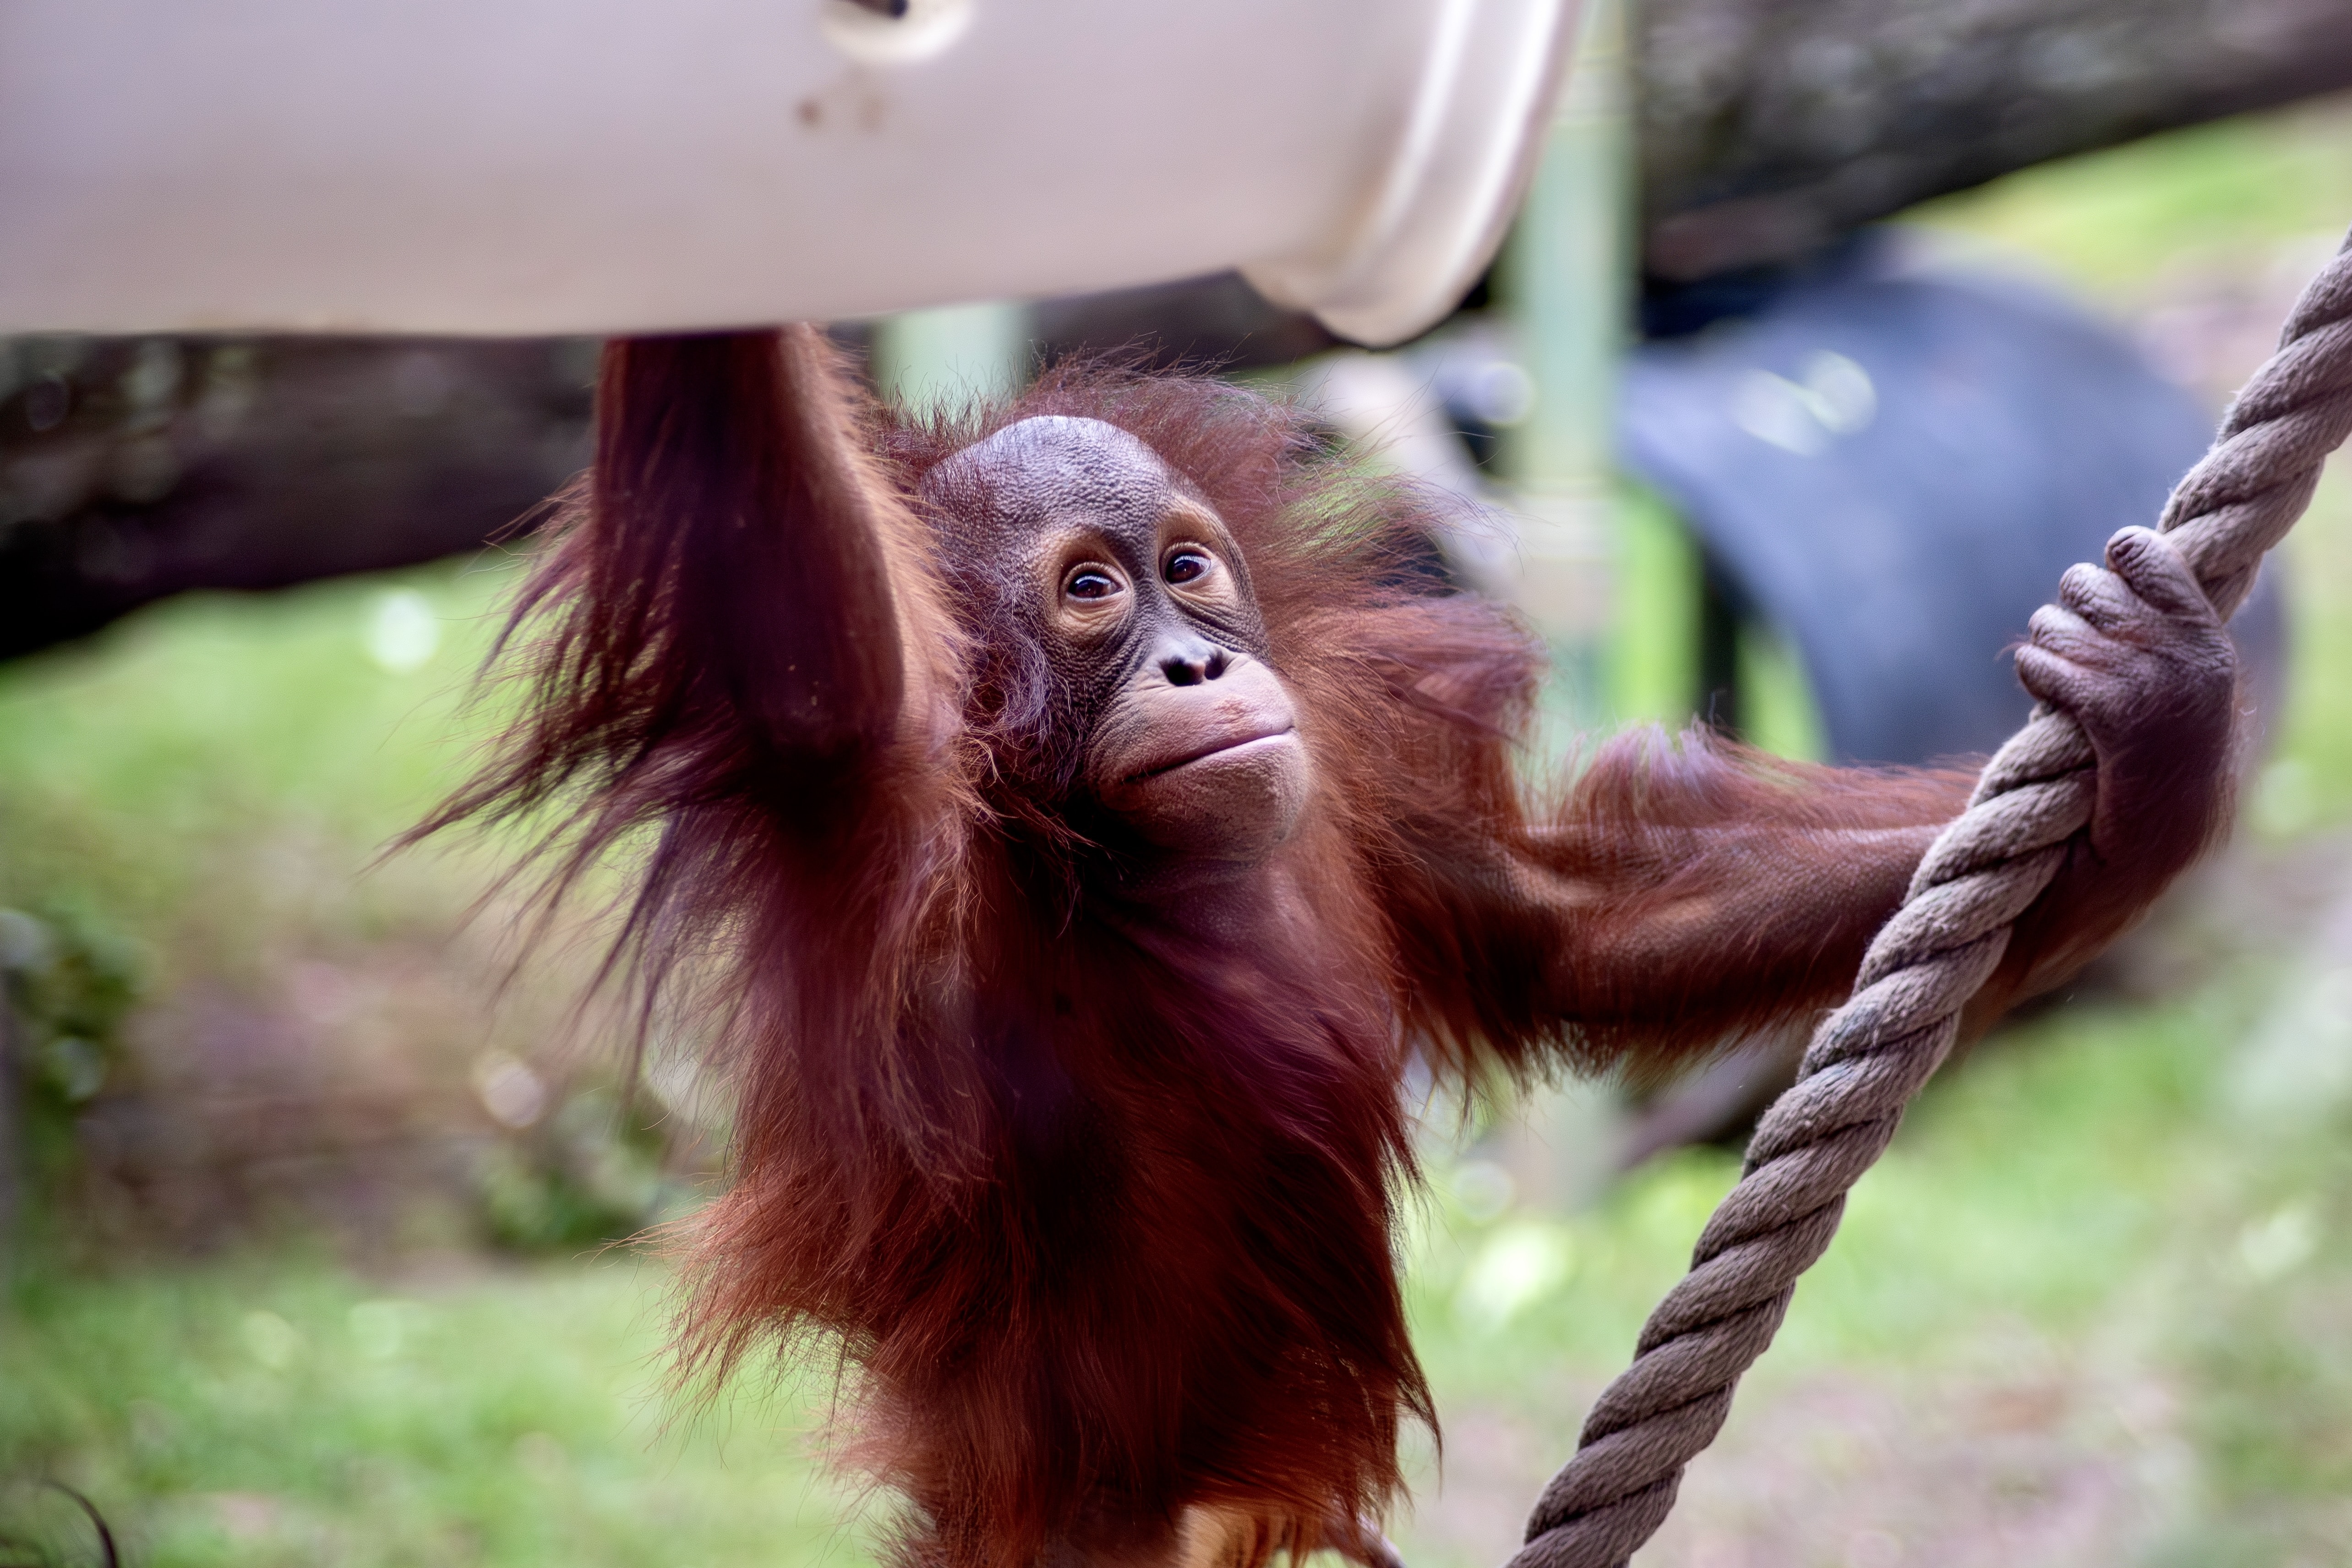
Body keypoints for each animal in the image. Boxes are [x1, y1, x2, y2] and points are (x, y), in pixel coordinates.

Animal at [418, 325, 2236, 1568]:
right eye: (1089, 593)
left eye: (1186, 570)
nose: (1198, 669)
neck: (1119, 866)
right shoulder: (895, 820)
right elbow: (815, 659)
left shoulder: (1348, 768)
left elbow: (1556, 923)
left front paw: (2151, 757)